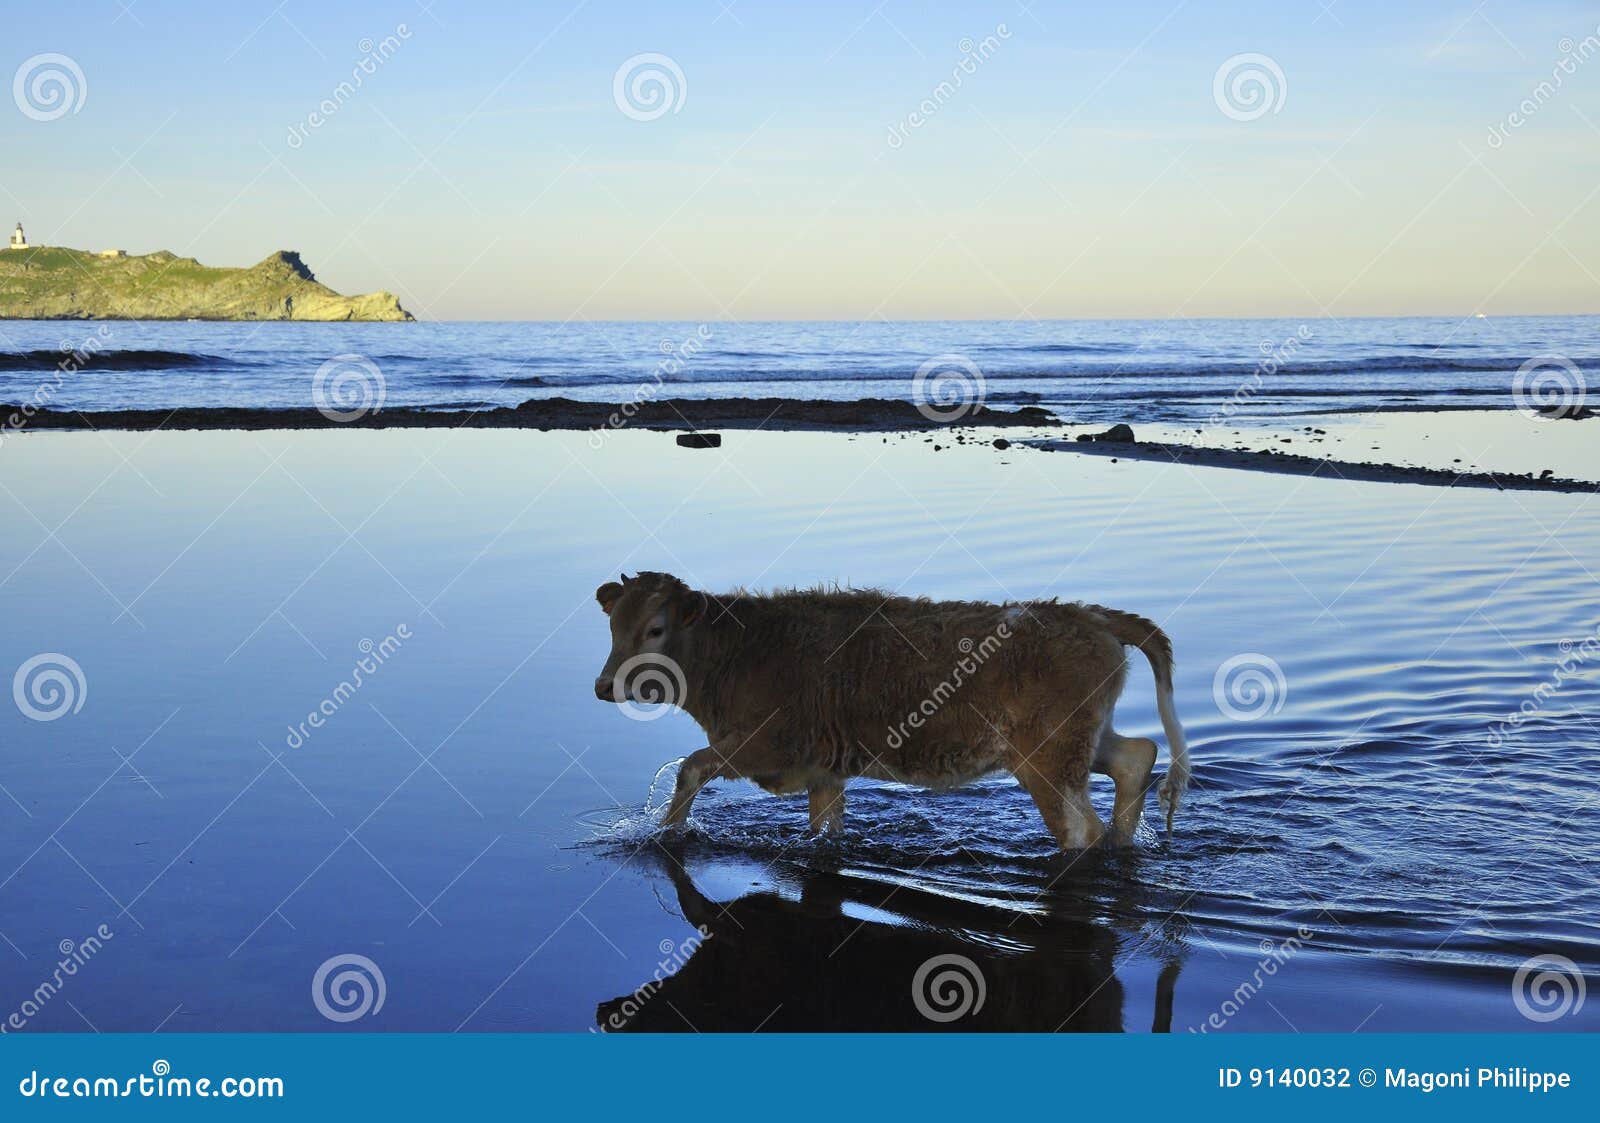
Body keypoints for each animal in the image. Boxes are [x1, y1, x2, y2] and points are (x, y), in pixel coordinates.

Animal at [592, 571, 1189, 849]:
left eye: (655, 629)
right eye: (614, 626)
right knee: (1136, 756)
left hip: (1047, 755)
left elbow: (691, 765)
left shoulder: (769, 744)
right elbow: (825, 825)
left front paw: (665, 833)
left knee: (1080, 828)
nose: (604, 685)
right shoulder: (824, 768)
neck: (737, 654)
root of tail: (1090, 616)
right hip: (1080, 739)